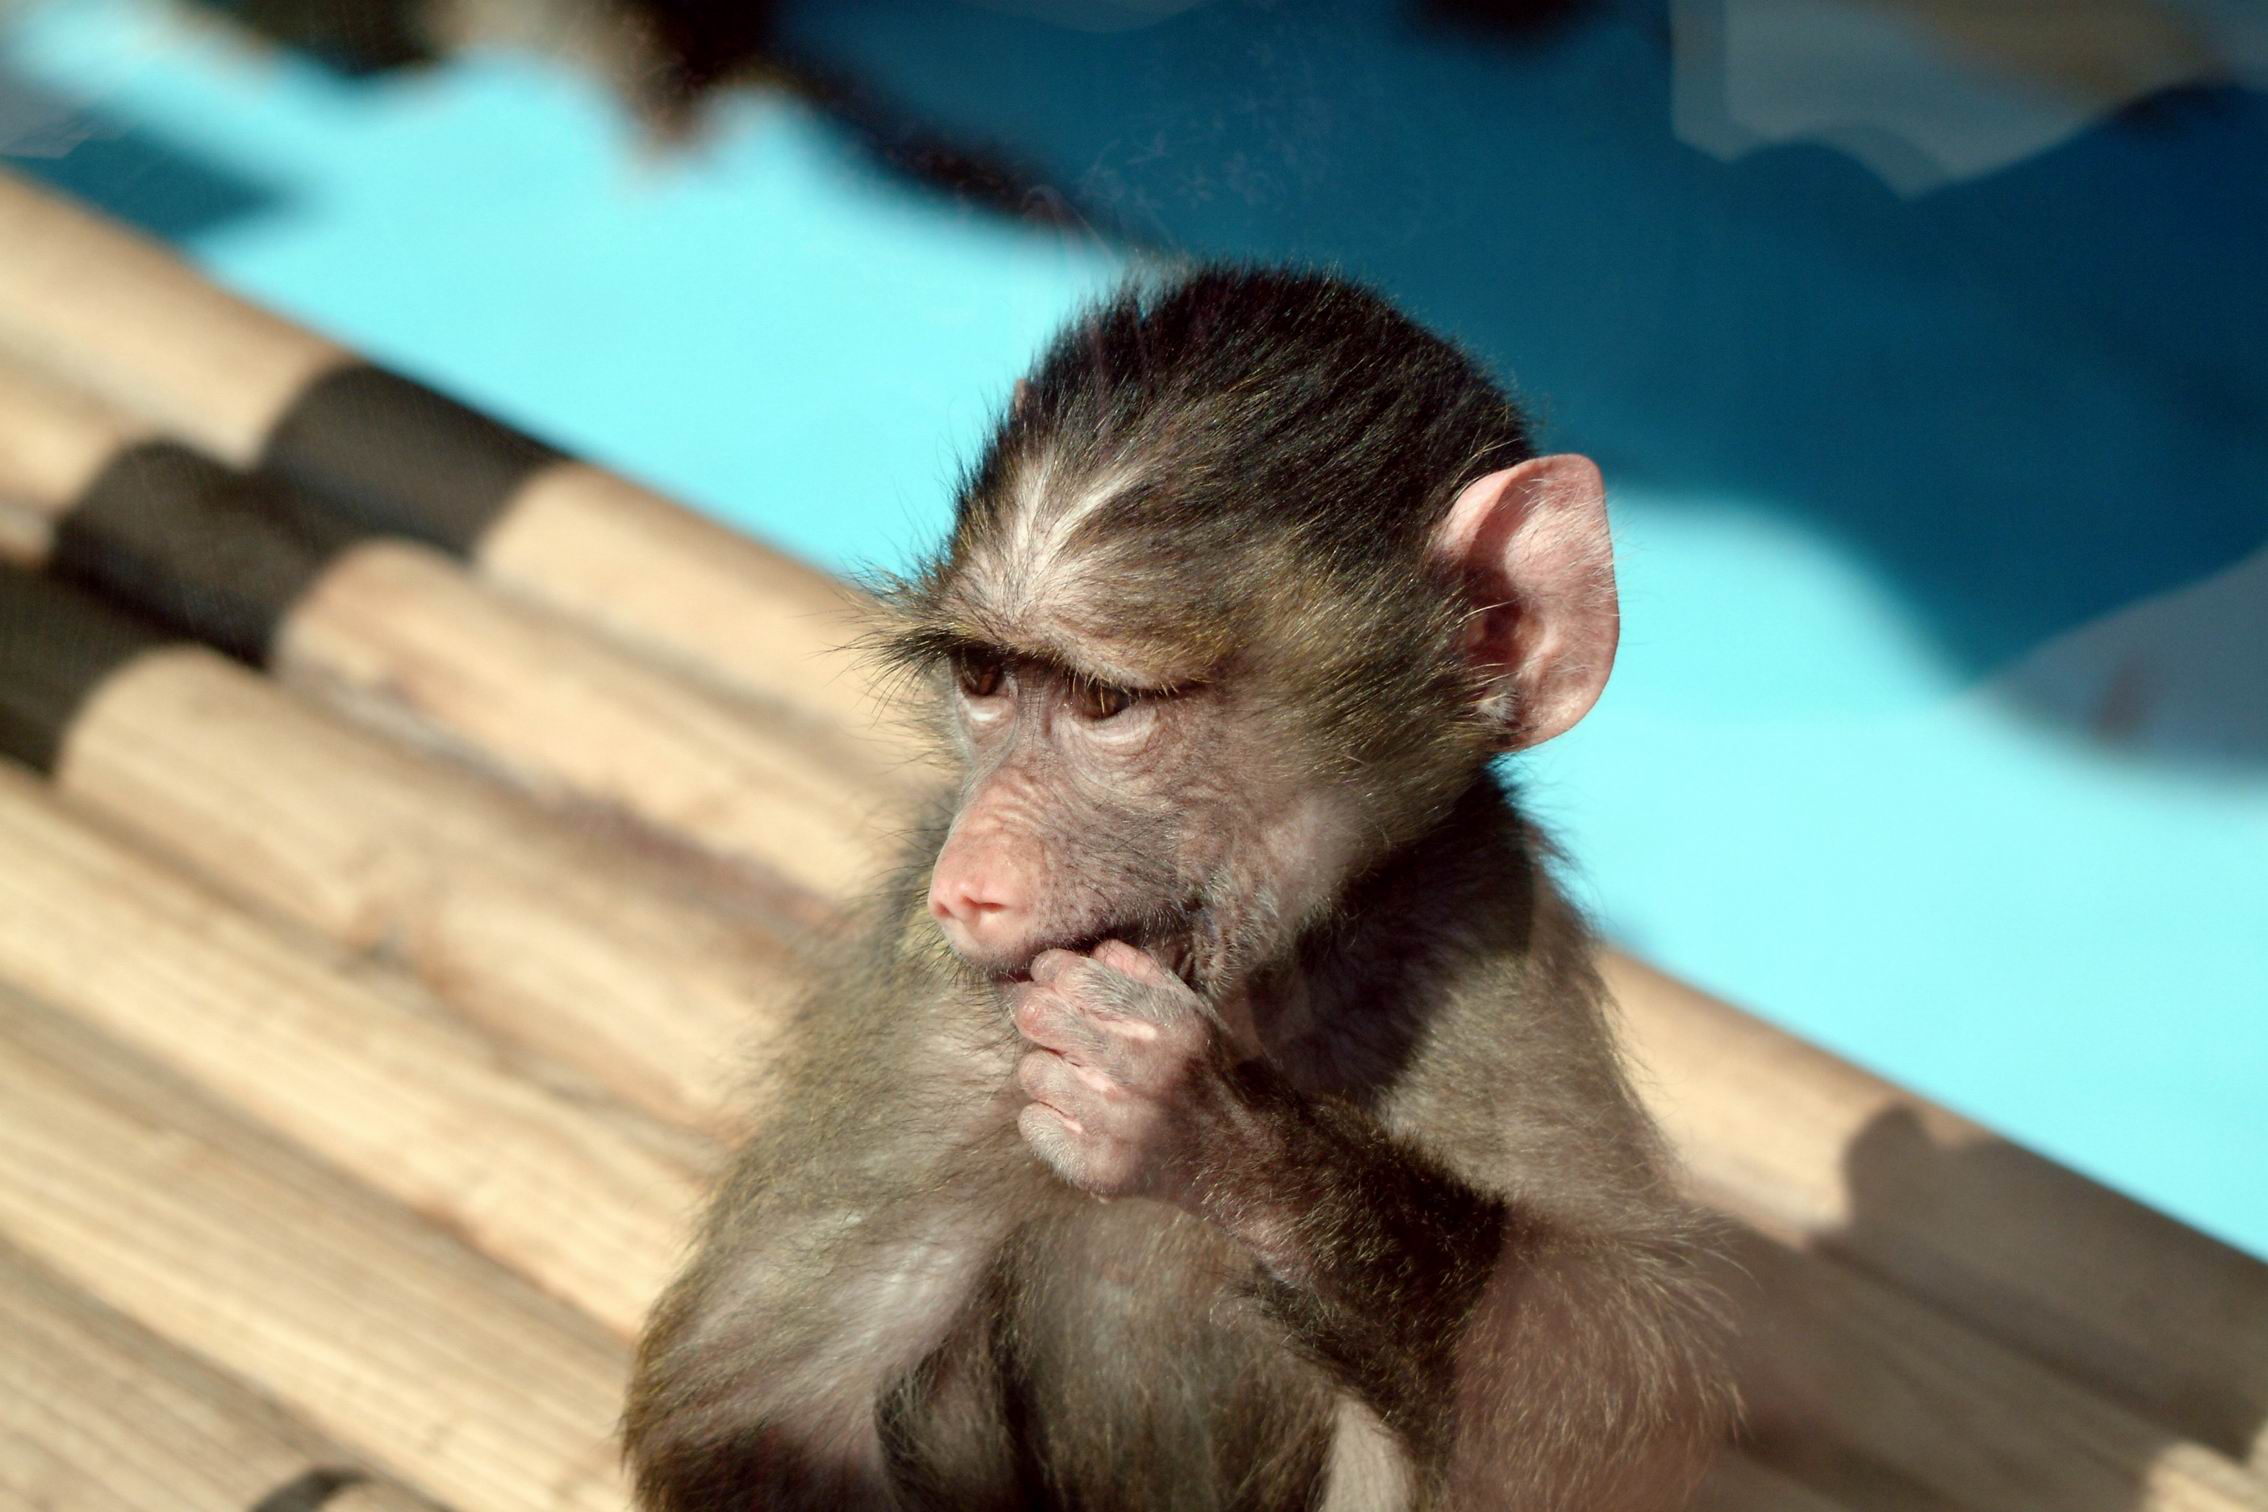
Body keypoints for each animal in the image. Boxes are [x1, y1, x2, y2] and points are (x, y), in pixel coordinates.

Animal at [622, 268, 1736, 1511]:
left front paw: (1236, 1149)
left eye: (1106, 704)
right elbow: (756, 1409)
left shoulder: (1476, 914)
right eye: (984, 676)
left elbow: (1623, 1358)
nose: (966, 889)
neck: (1267, 981)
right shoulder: (946, 1020)